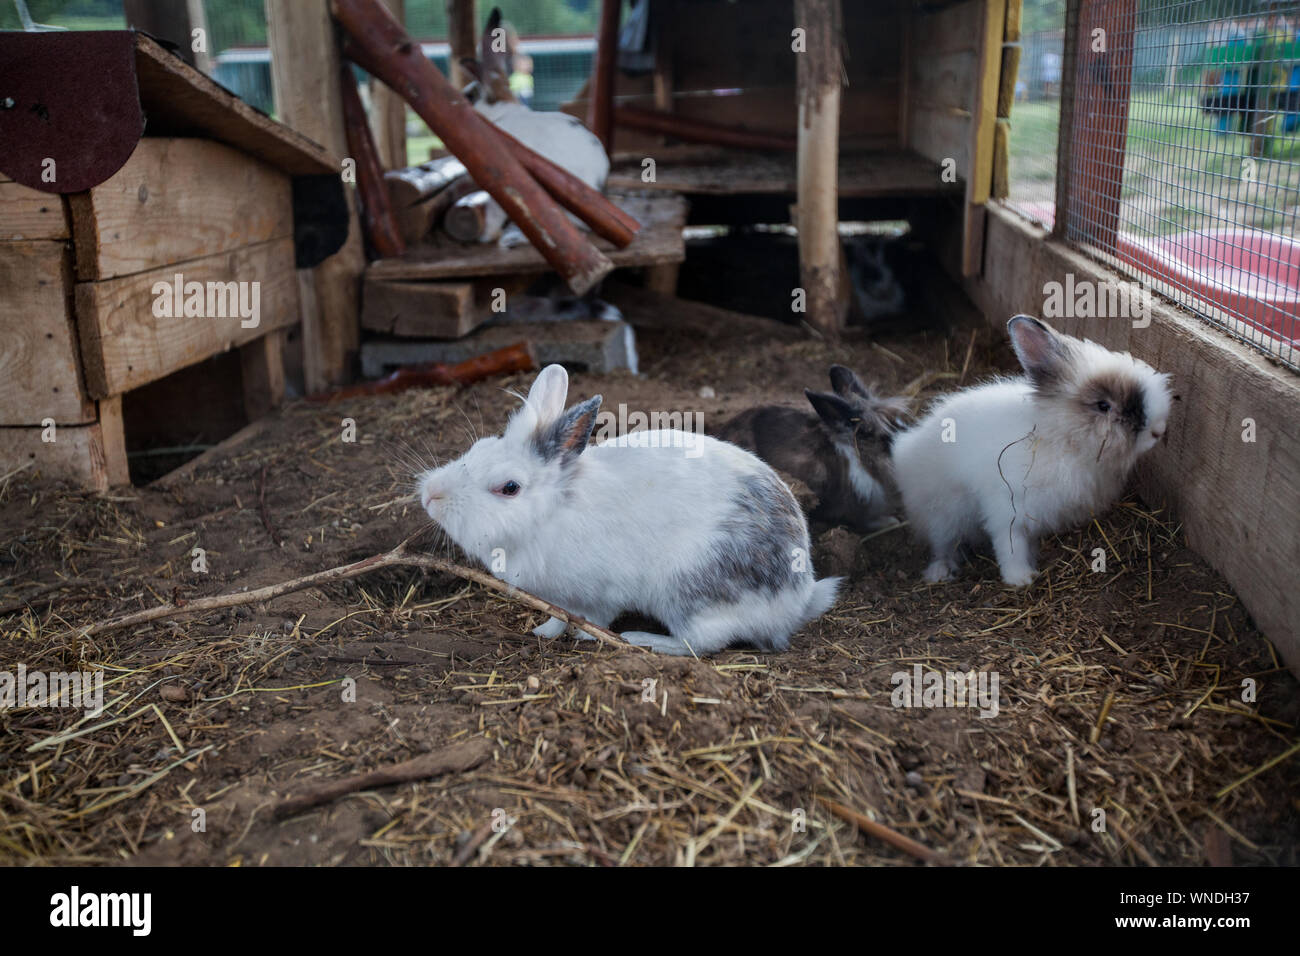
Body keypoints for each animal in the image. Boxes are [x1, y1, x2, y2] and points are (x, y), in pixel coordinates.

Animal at [417, 364, 842, 655]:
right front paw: (543, 632)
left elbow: (594, 617)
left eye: (509, 488)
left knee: (701, 643)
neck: (555, 509)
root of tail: (798, 599)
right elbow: (557, 617)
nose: (430, 496)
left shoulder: (601, 594)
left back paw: (644, 639)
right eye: (477, 449)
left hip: (687, 592)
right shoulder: (557, 597)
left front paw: (585, 635)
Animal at [890, 315, 1172, 587]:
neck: (1061, 435)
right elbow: (1009, 545)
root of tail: (904, 450)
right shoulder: (1007, 508)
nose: (1158, 430)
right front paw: (1020, 578)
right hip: (941, 514)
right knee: (942, 546)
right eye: (1104, 406)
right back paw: (941, 572)